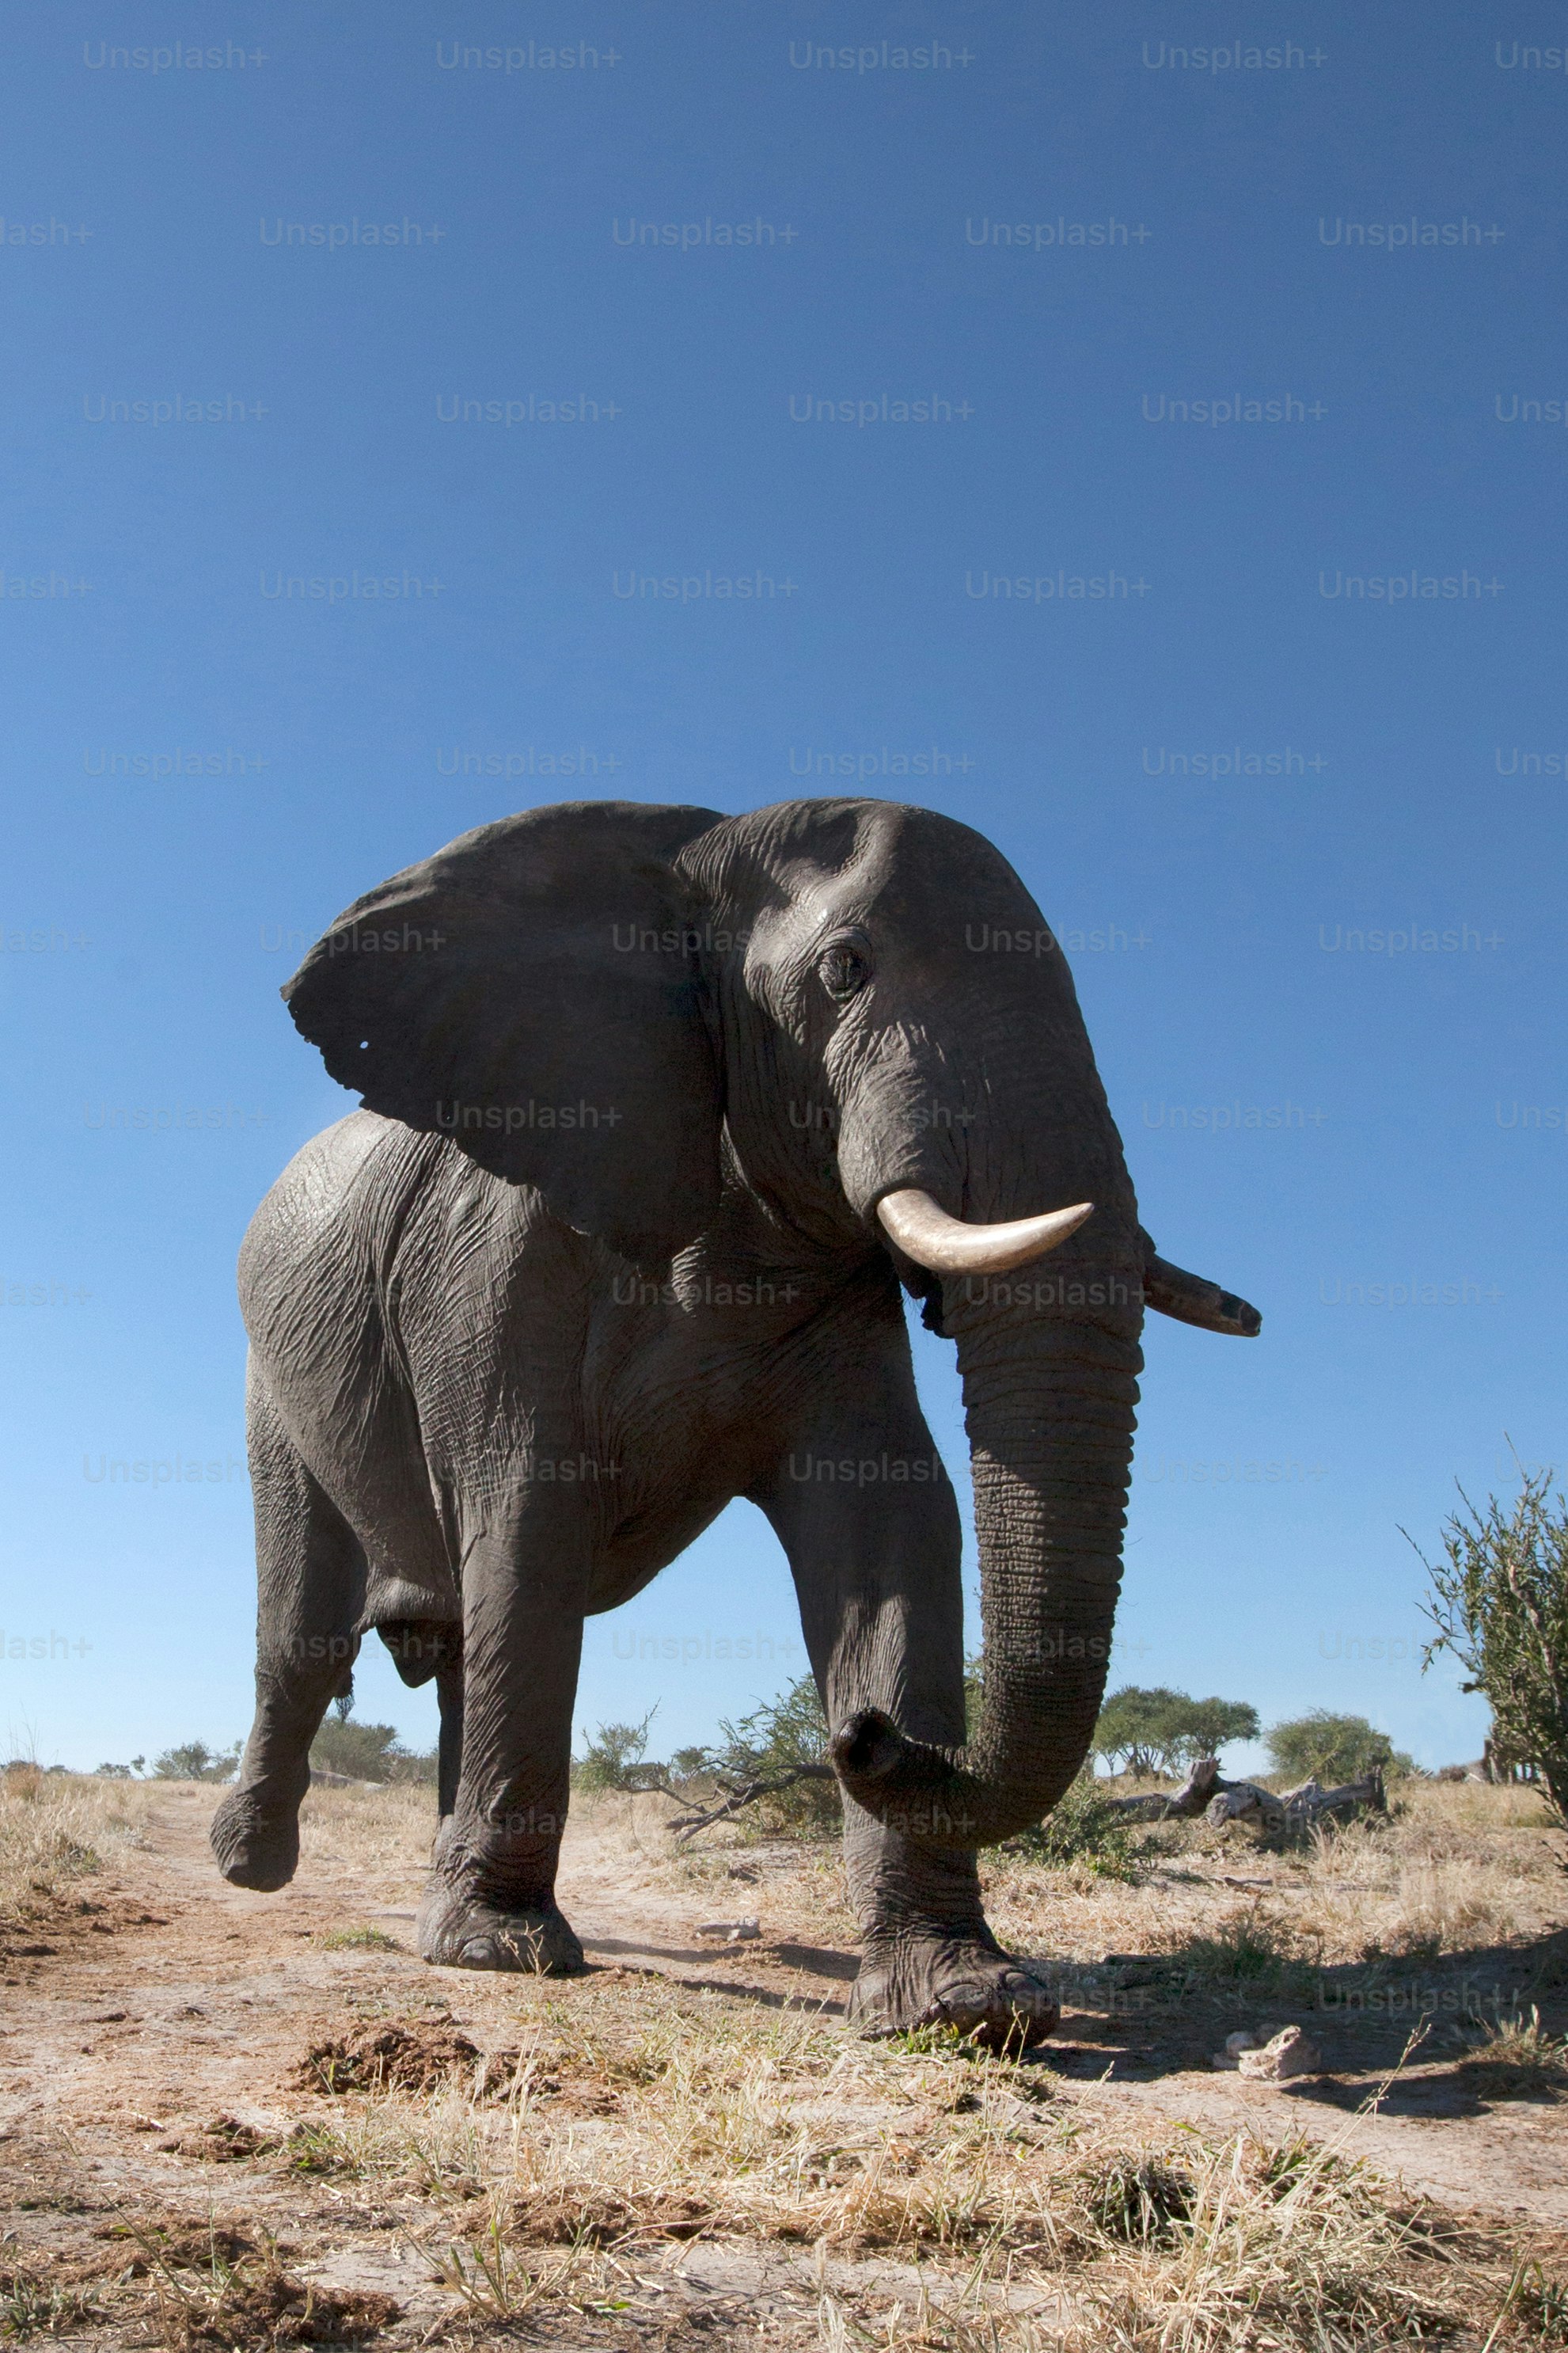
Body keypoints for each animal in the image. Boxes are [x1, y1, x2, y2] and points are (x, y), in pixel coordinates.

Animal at [212, 796, 1259, 2047]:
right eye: (844, 970)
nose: (864, 1737)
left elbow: (892, 1527)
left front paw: (966, 2004)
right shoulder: (497, 1258)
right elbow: (527, 1523)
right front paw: (504, 1956)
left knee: (453, 1633)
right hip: (272, 1385)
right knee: (308, 1634)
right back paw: (255, 1868)